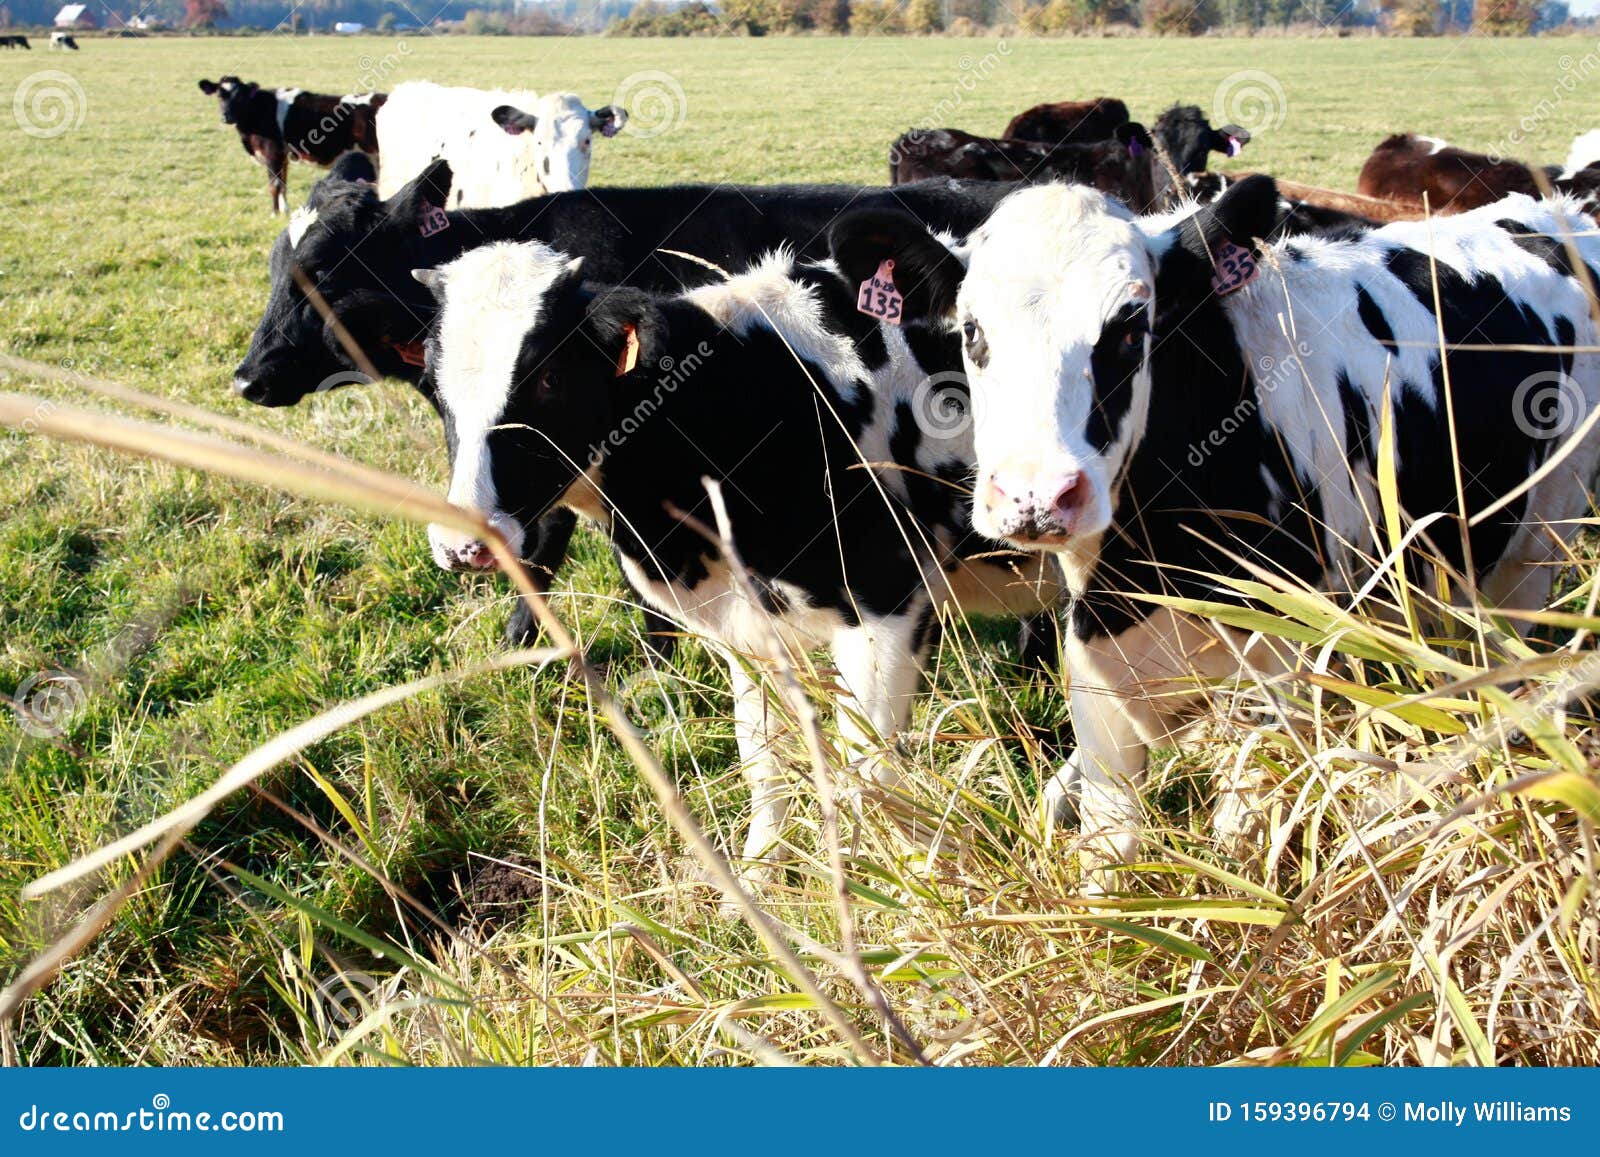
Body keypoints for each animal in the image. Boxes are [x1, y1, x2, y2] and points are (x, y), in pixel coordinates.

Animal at [197, 77, 386, 214]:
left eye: (240, 97)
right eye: (219, 95)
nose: (226, 116)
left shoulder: (272, 154)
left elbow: (274, 185)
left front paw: (274, 212)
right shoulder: (283, 157)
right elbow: (283, 184)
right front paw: (284, 210)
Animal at [415, 238, 1058, 875]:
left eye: (549, 377)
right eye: (432, 386)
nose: (462, 544)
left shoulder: (889, 599)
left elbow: (870, 773)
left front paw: (923, 879)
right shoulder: (747, 629)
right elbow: (763, 757)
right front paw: (759, 871)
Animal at [830, 176, 1600, 880]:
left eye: (1130, 327)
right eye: (972, 332)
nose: (1035, 494)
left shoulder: (1280, 675)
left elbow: (1245, 848)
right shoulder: (1100, 677)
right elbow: (1111, 847)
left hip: (1537, 545)